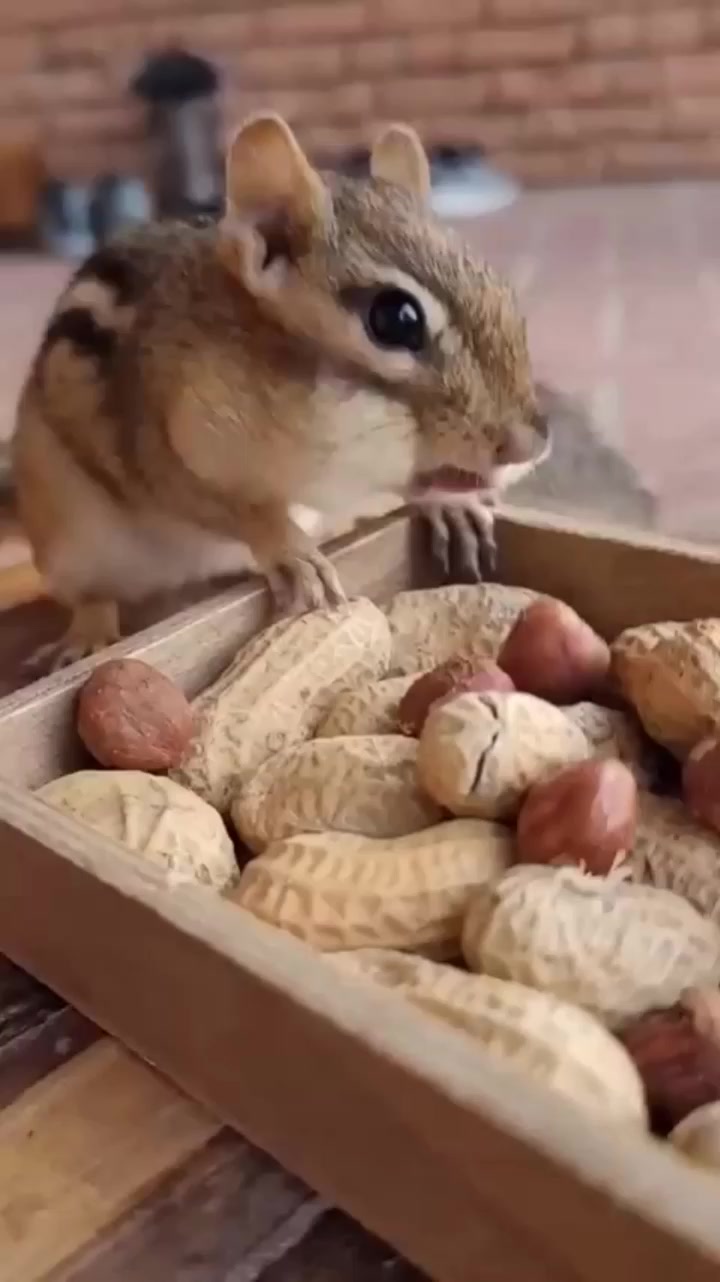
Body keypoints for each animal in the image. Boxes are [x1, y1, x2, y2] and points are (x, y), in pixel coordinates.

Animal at [9, 112, 549, 670]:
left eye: (506, 291)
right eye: (396, 319)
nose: (532, 445)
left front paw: (452, 508)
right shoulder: (158, 447)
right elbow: (227, 504)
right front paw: (289, 547)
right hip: (70, 538)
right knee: (91, 595)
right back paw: (86, 635)